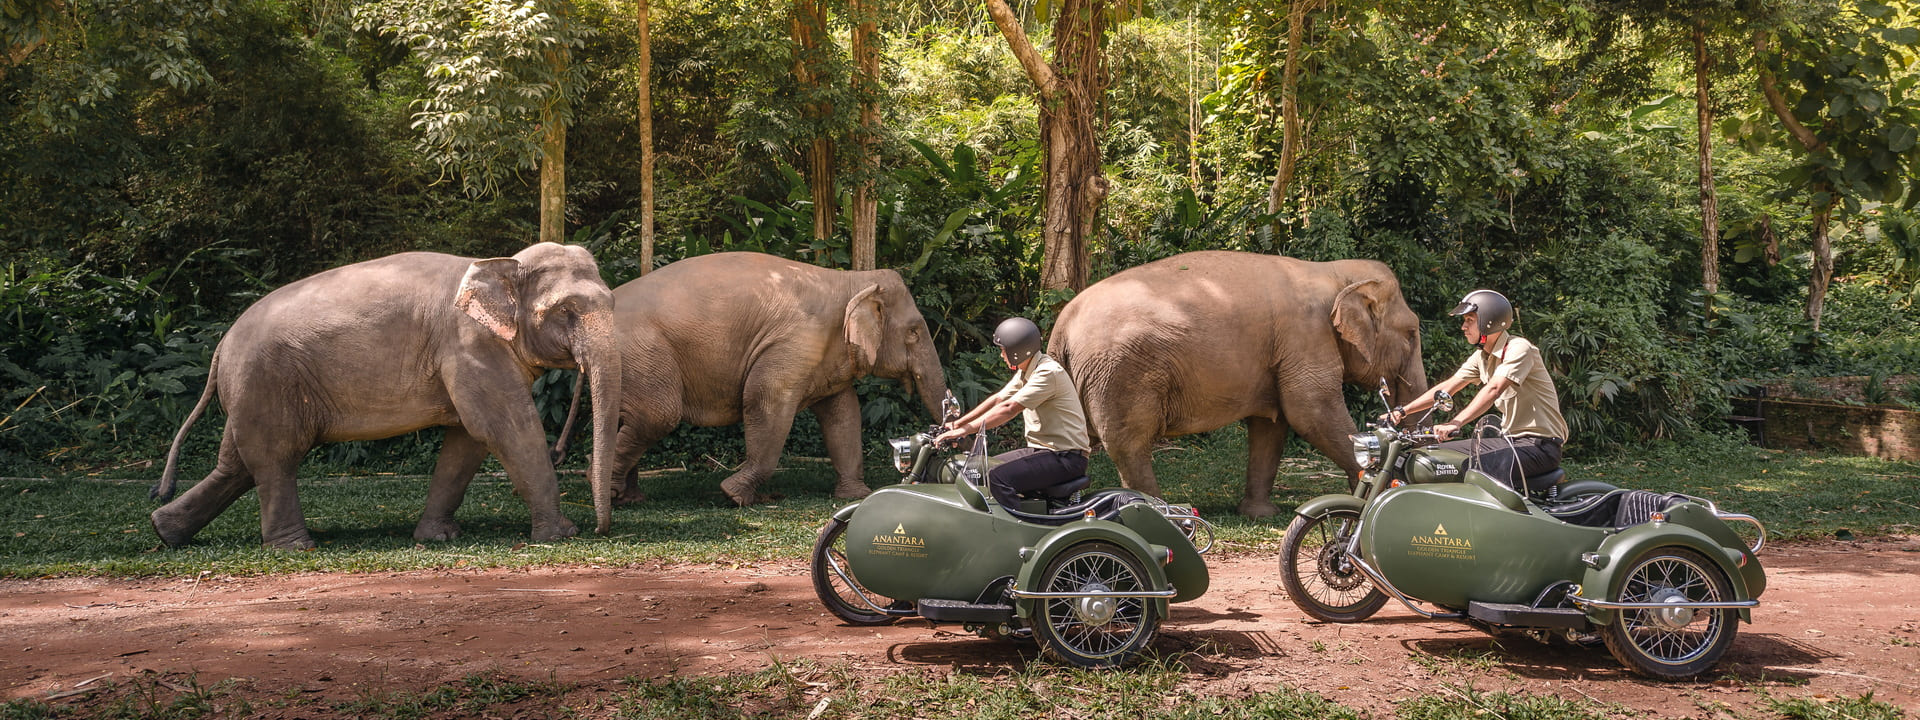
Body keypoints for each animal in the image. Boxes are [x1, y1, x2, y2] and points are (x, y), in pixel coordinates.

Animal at [149, 242, 624, 549]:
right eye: (566, 311)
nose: (601, 530)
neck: (499, 264)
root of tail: (221, 346)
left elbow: (466, 441)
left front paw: (438, 537)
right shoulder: (469, 345)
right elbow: (505, 428)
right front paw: (561, 534)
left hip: (250, 392)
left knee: (236, 465)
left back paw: (163, 531)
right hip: (266, 383)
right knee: (274, 459)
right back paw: (296, 547)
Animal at [589, 251, 948, 507]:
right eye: (914, 332)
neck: (850, 280)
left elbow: (843, 414)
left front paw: (856, 496)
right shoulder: (794, 344)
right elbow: (765, 400)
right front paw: (734, 496)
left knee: (629, 418)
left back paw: (628, 497)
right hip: (641, 351)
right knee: (658, 416)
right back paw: (609, 492)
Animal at [1048, 250, 1428, 518]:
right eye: (1411, 333)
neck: (1334, 273)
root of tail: (1062, 325)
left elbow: (1270, 427)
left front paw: (1260, 514)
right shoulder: (1306, 336)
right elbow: (1311, 411)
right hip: (1121, 374)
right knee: (1130, 443)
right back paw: (1160, 511)